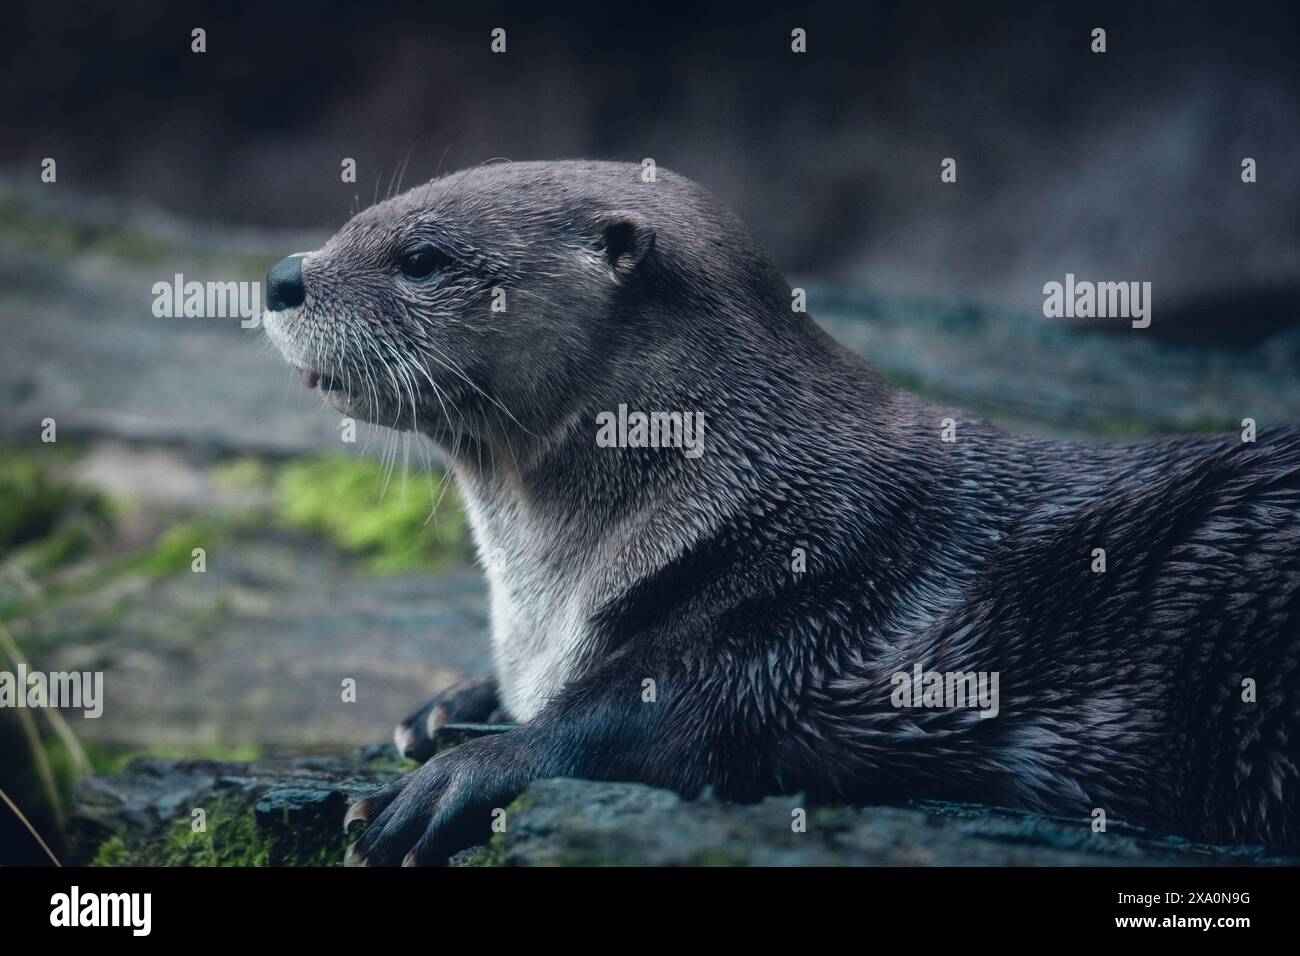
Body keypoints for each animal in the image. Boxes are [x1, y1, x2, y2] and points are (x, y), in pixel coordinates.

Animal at [261, 160, 1300, 865]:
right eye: (352, 219)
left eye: (421, 257)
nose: (281, 277)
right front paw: (451, 706)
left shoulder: (813, 598)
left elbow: (659, 725)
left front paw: (450, 780)